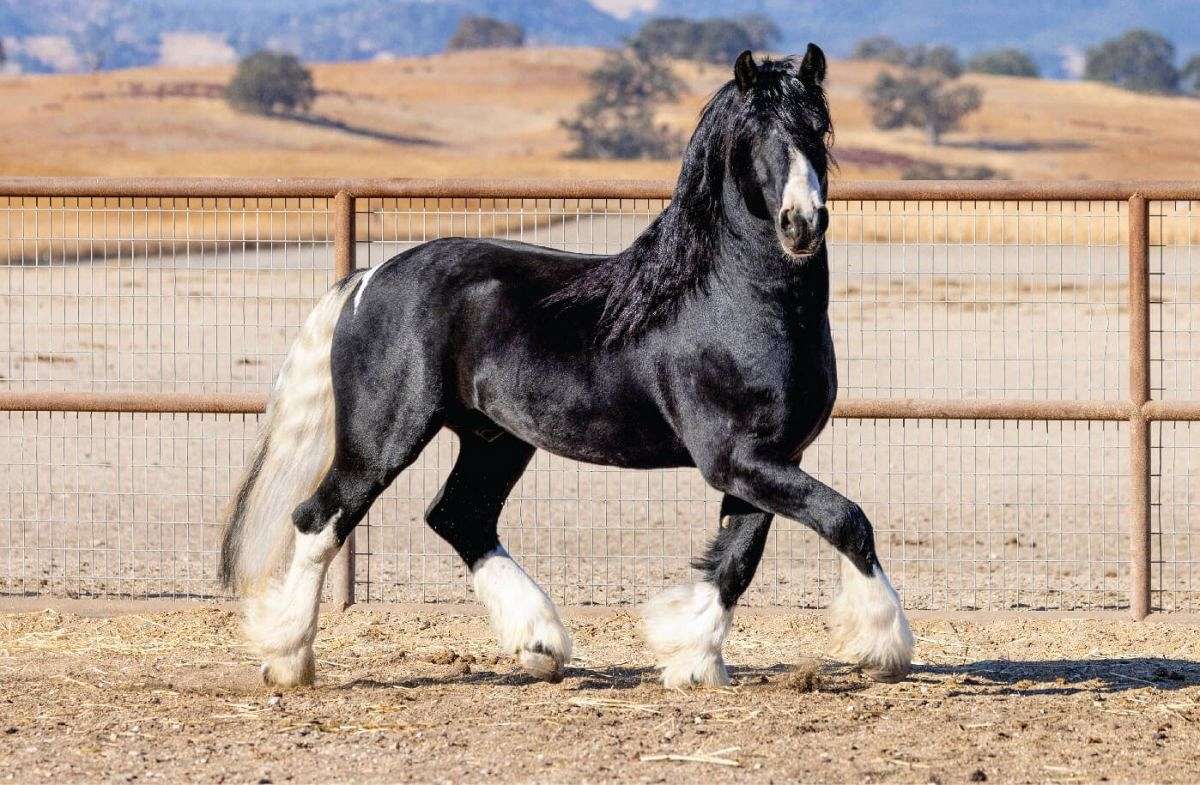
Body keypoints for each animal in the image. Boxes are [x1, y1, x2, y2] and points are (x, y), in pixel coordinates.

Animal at [219, 46, 914, 689]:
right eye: (753, 134)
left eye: (817, 128)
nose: (802, 224)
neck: (727, 299)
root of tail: (369, 277)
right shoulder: (737, 459)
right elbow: (846, 520)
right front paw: (884, 647)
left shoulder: (766, 460)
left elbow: (737, 560)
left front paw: (693, 659)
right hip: (382, 437)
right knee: (321, 518)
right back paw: (288, 659)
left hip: (495, 438)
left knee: (459, 516)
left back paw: (540, 645)